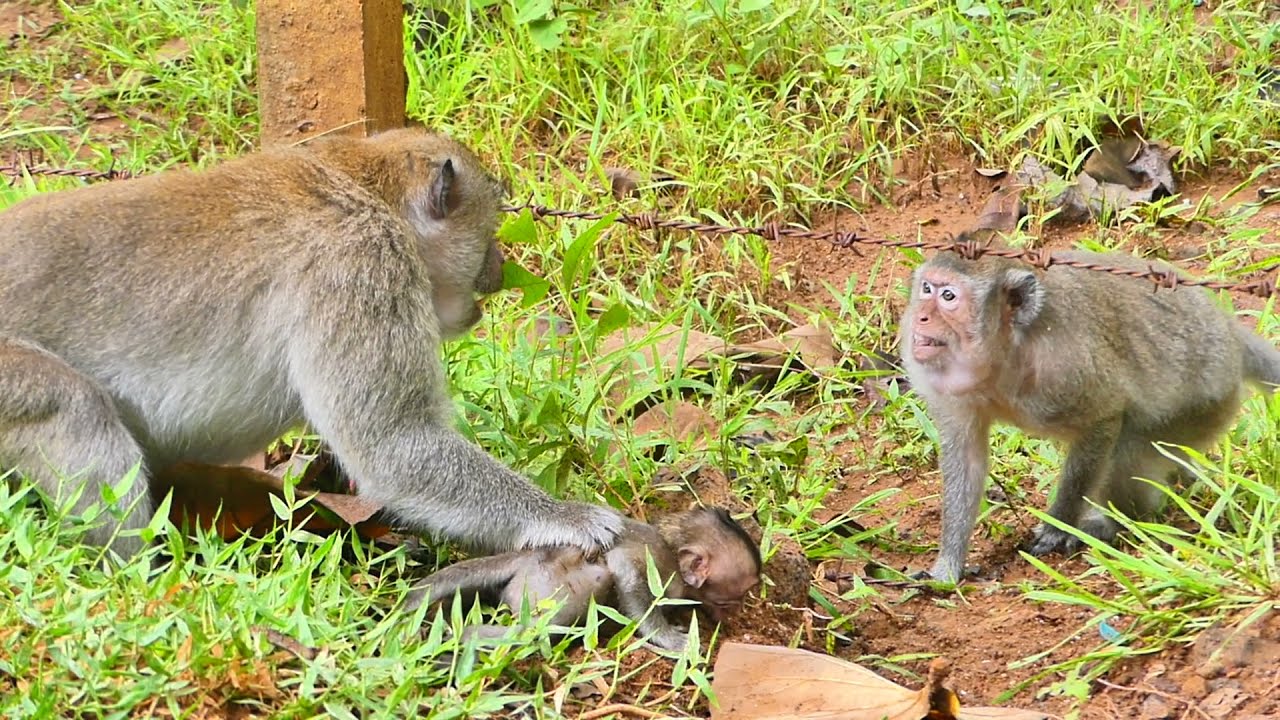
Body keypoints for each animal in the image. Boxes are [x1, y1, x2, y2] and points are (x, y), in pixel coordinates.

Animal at [0, 126, 624, 562]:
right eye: (489, 231)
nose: (497, 271)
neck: (362, 187)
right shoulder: (361, 266)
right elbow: (390, 443)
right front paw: (564, 517)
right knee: (72, 407)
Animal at [401, 507, 763, 651]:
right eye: (732, 599)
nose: (735, 613)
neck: (673, 550)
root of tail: (530, 556)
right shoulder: (661, 569)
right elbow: (624, 570)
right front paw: (669, 638)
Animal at [898, 246, 1280, 584]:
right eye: (927, 289)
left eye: (949, 296)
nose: (920, 316)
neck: (1006, 353)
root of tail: (1229, 332)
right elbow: (967, 462)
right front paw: (947, 569)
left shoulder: (1067, 369)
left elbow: (1103, 420)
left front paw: (1057, 527)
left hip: (1203, 407)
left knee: (1128, 452)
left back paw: (1116, 524)